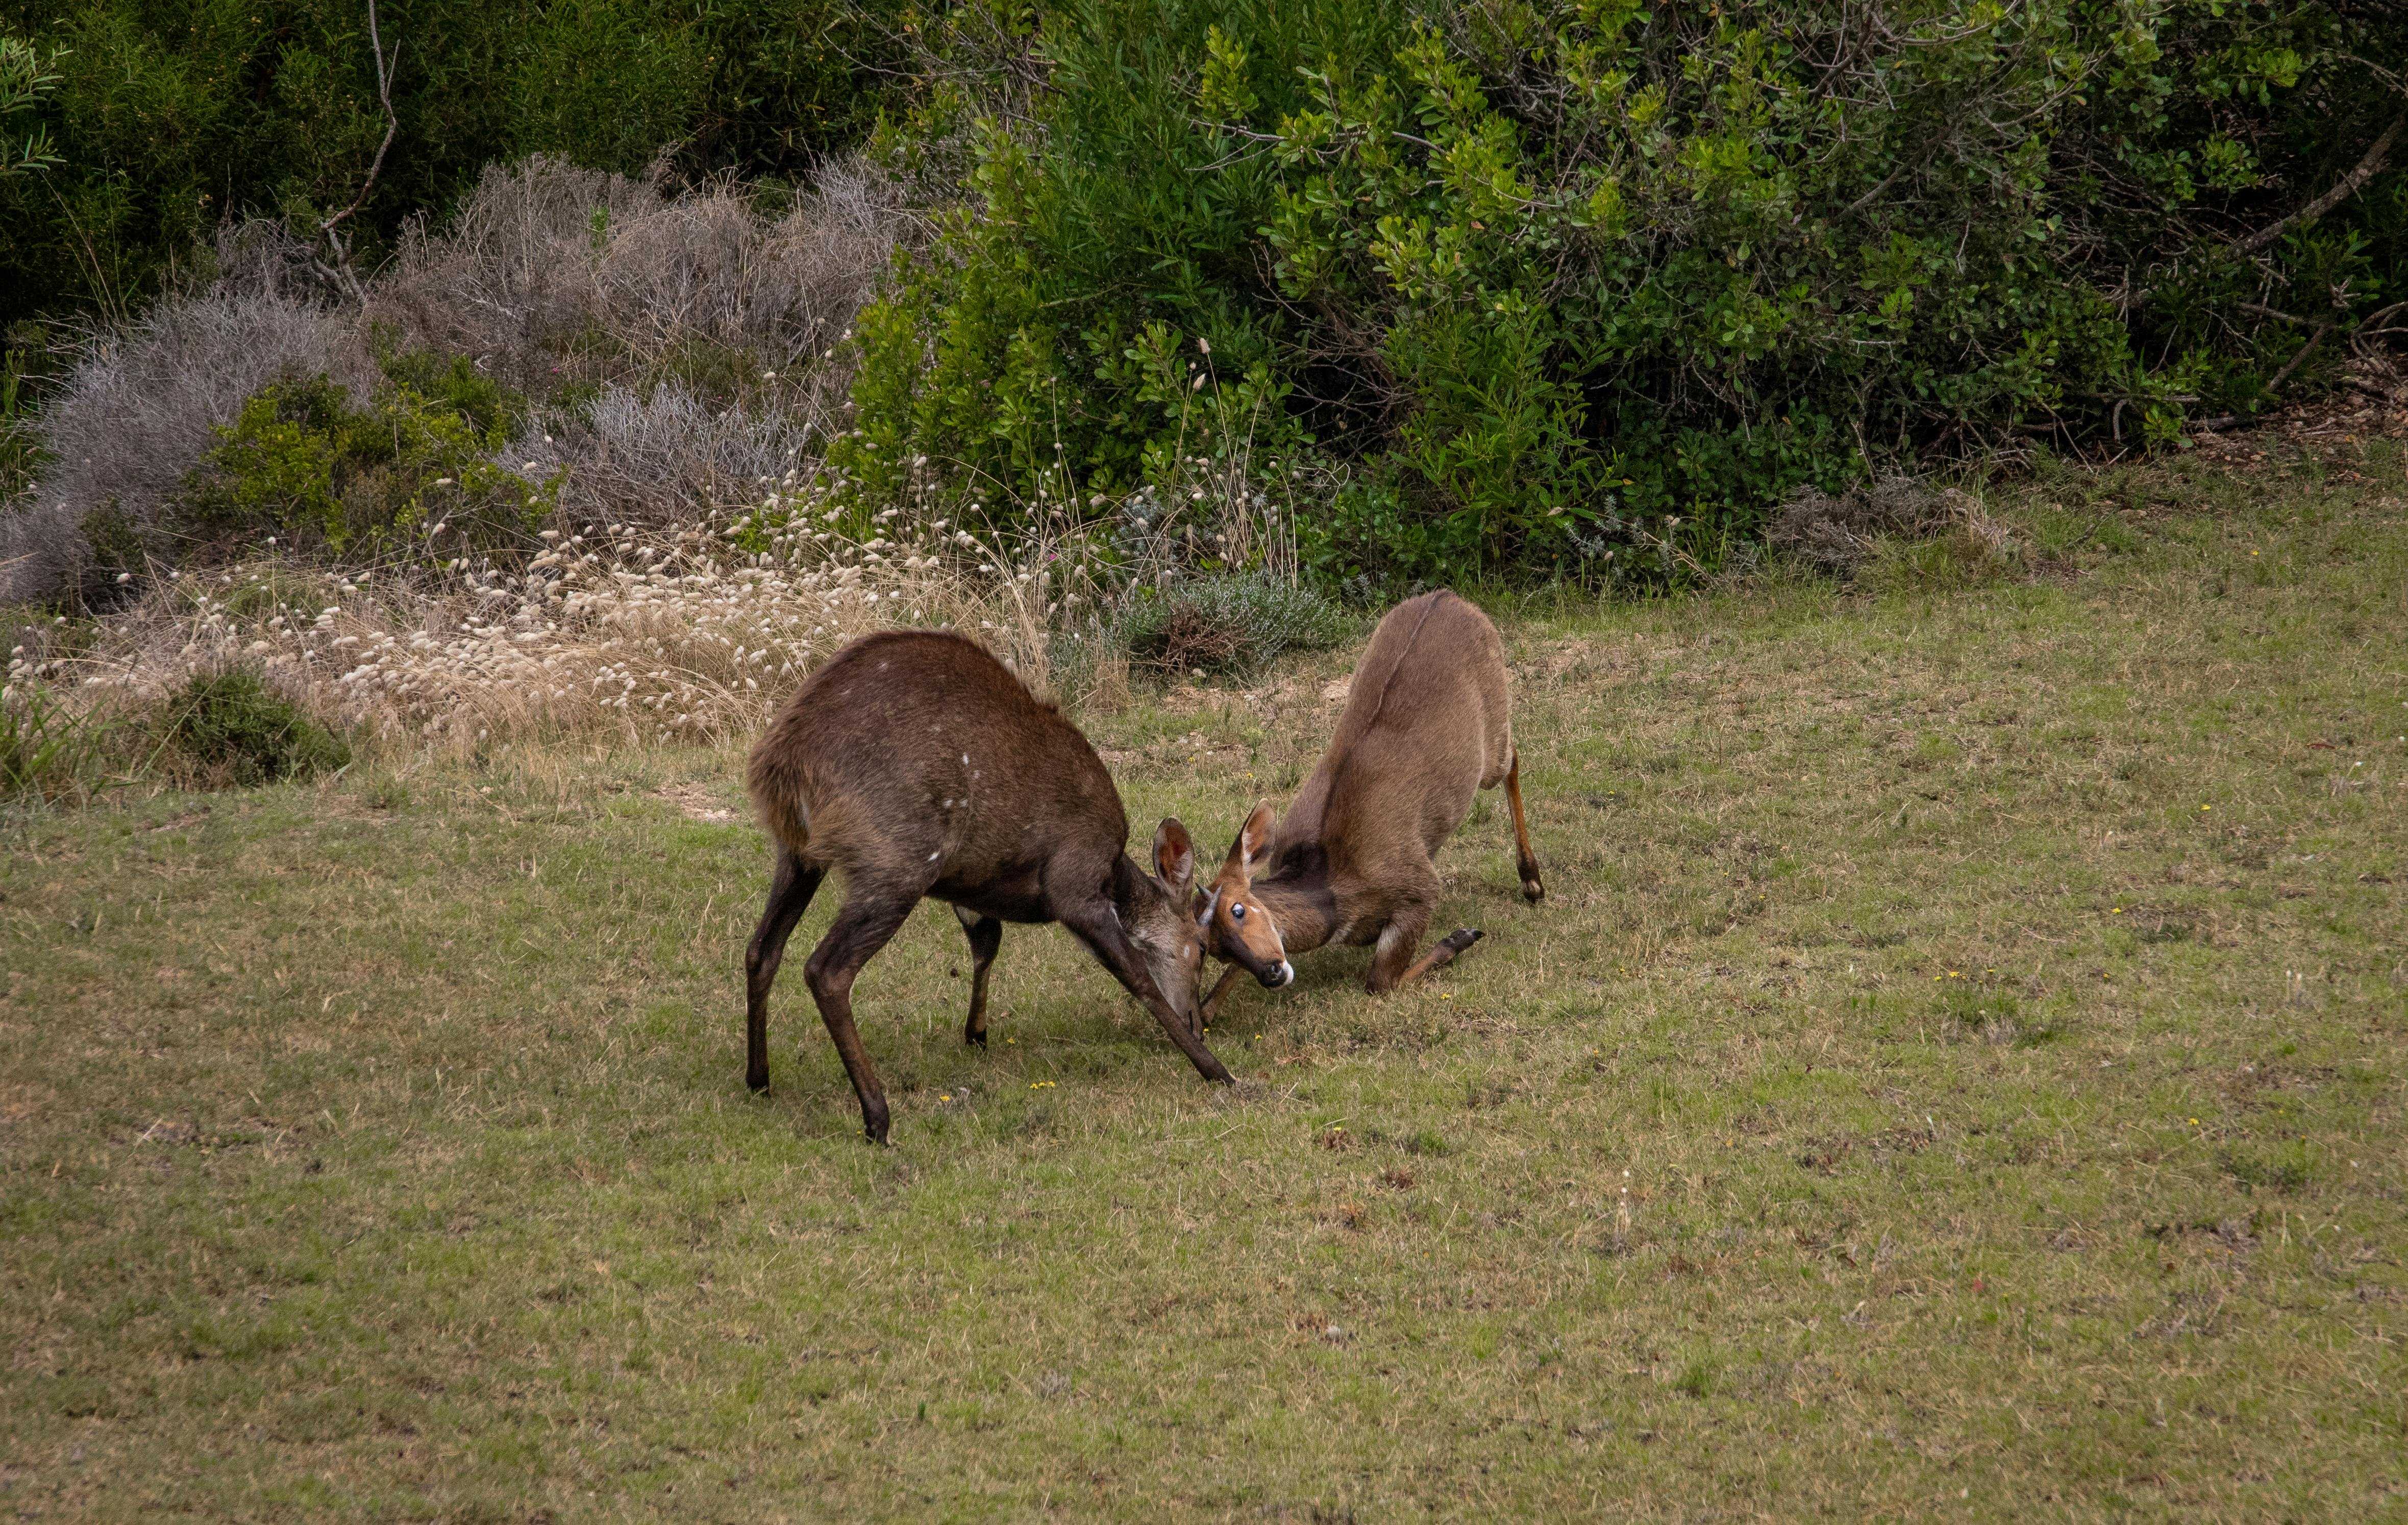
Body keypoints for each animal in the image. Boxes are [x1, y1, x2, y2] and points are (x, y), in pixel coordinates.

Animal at [743, 629, 1231, 1142]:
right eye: (1201, 947)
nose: (1197, 1023)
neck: (1112, 870)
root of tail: (779, 764)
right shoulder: (1074, 887)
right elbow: (1136, 974)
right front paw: (1217, 1071)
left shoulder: (972, 891)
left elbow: (987, 944)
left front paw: (976, 1034)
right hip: (896, 864)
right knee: (826, 969)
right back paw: (877, 1118)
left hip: (799, 856)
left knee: (762, 949)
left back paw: (759, 1080)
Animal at [1194, 589, 1543, 1019]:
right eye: (1210, 947)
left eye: (1238, 910)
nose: (1271, 973)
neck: (1332, 884)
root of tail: (1448, 596)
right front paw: (1203, 1009)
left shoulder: (1418, 888)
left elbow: (1379, 983)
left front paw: (1463, 936)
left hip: (1491, 741)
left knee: (1512, 756)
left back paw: (1532, 883)